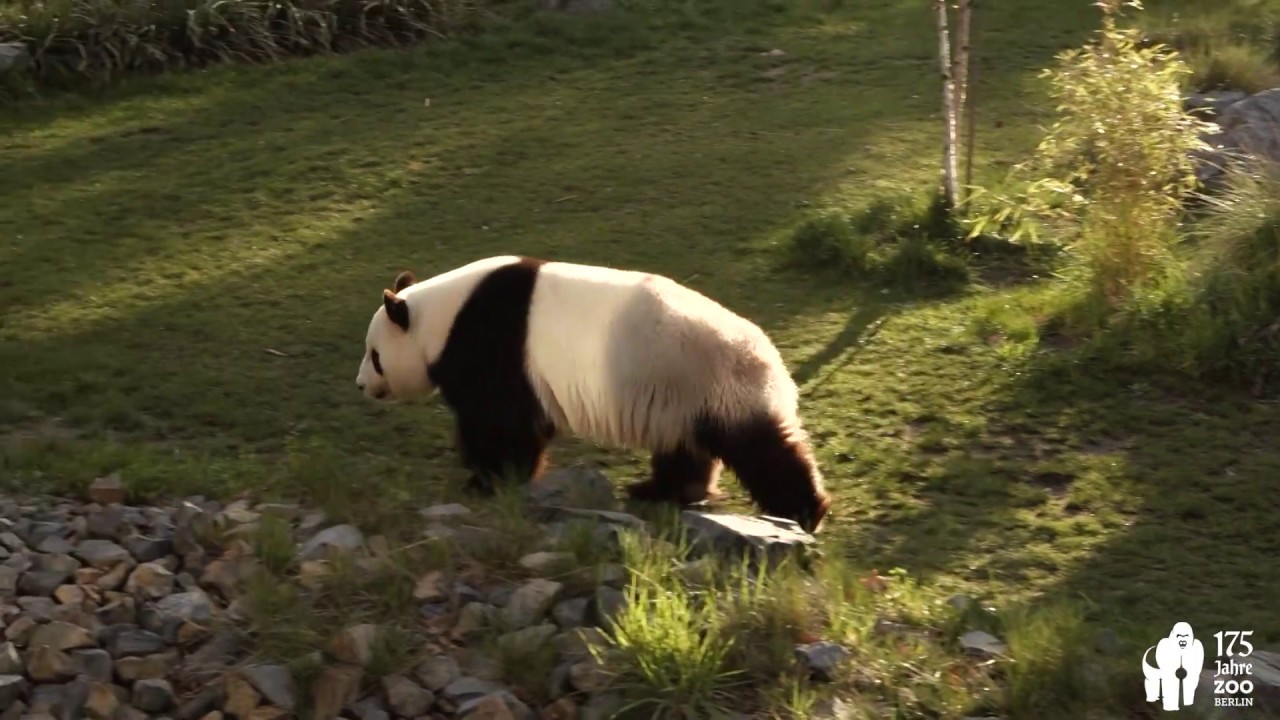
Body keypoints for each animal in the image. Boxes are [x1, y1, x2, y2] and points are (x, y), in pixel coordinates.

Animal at [354, 255, 832, 533]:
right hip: (682, 399)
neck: (442, 316)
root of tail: (771, 360)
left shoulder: (494, 342)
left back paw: (804, 512)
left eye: (374, 355)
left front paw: (486, 479)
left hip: (711, 382)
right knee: (686, 451)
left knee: (760, 448)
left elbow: (503, 422)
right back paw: (658, 491)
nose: (361, 385)